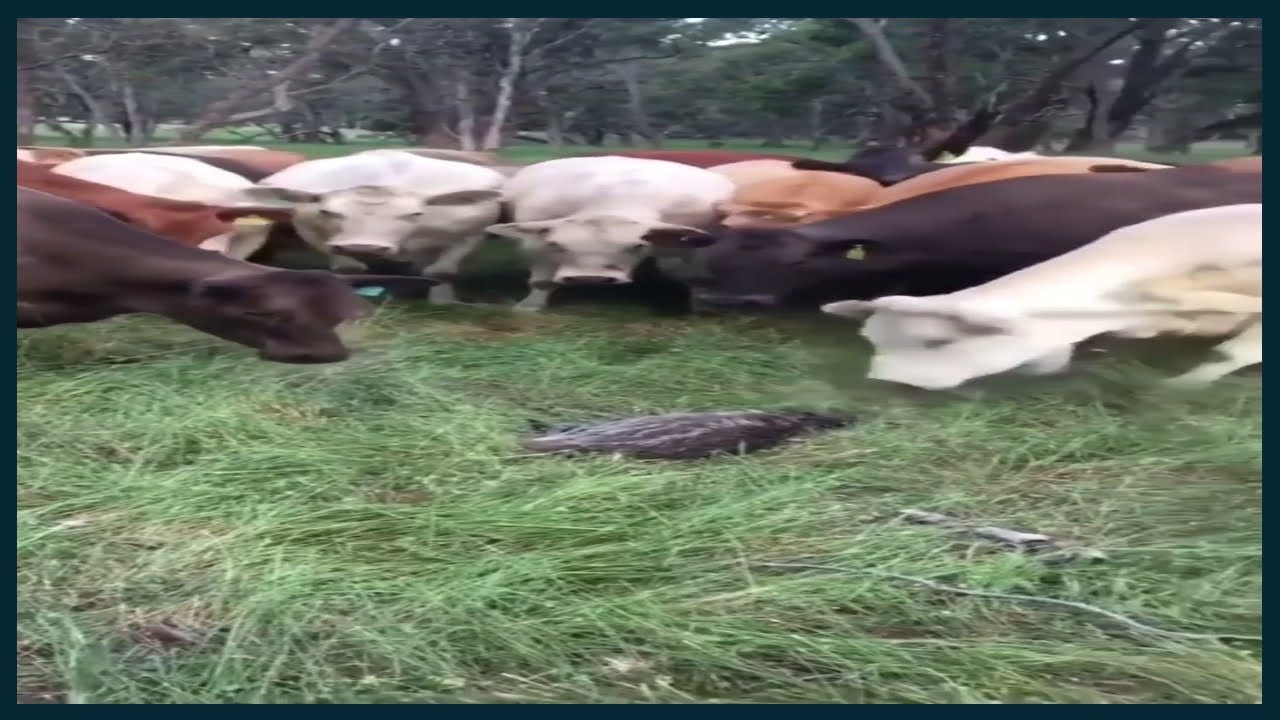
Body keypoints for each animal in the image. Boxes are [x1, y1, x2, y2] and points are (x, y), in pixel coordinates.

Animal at [228, 149, 506, 305]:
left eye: (415, 214)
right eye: (328, 211)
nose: (364, 245)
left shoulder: (470, 233)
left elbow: (442, 272)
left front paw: (442, 303)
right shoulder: (313, 231)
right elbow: (349, 270)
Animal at [485, 155, 735, 312]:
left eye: (637, 246)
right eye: (557, 245)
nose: (590, 277)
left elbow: (697, 274)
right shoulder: (535, 243)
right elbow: (541, 281)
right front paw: (531, 306)